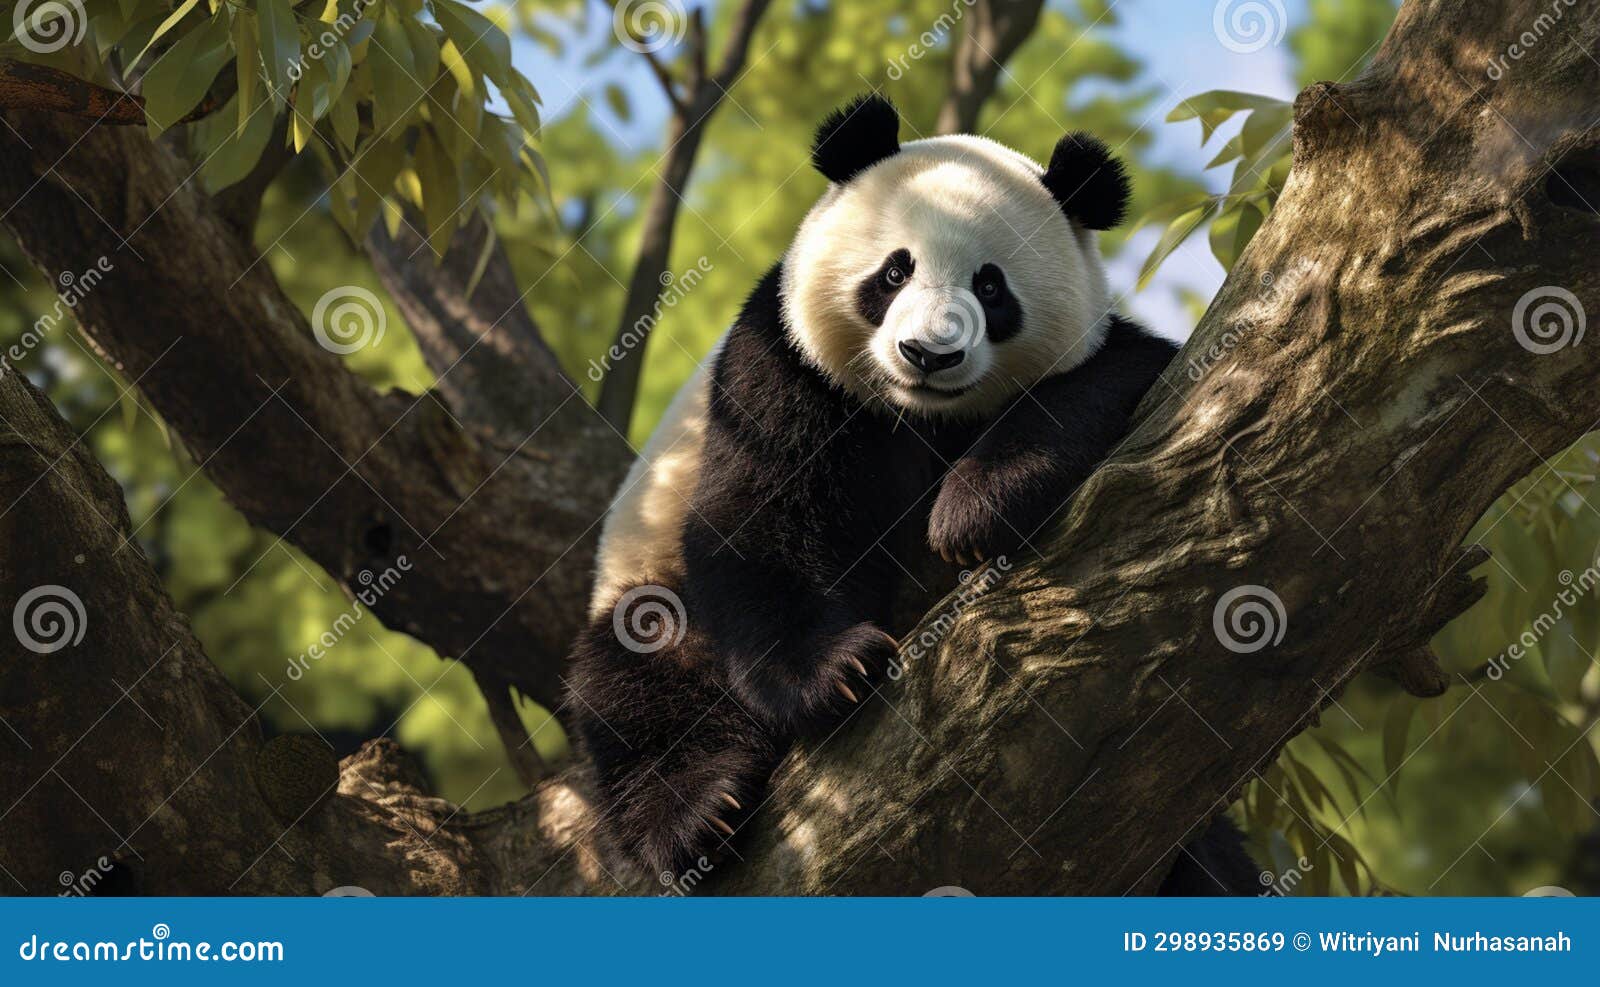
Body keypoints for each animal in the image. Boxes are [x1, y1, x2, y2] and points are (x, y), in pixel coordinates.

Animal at [569, 94, 1257, 894]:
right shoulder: (781, 361)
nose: (929, 353)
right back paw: (698, 812)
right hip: (642, 573)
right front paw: (834, 674)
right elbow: (763, 519)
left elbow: (1112, 376)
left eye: (991, 286)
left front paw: (973, 511)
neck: (920, 415)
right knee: (640, 675)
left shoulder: (1107, 358)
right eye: (895, 271)